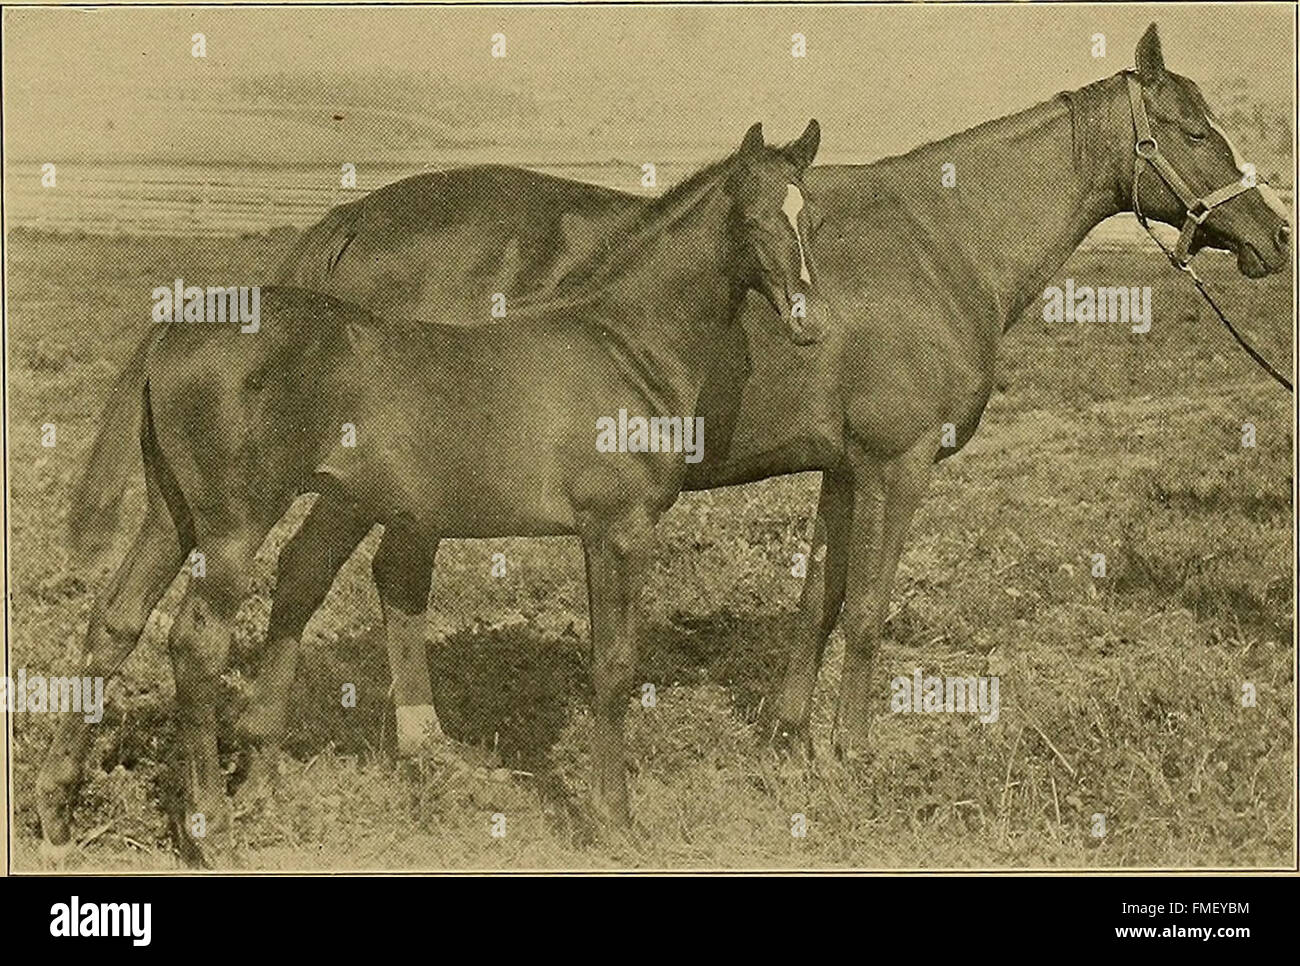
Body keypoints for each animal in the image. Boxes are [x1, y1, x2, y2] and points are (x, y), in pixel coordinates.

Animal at [37, 121, 826, 863]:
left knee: (114, 621)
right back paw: (212, 833)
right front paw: (614, 821)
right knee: (196, 645)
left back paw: (56, 813)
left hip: (173, 514)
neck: (623, 344)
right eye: (752, 214)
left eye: (809, 216)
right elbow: (613, 667)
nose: (808, 321)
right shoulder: (616, 529)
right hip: (234, 524)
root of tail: (172, 328)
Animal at [213, 23, 1290, 766]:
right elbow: (868, 608)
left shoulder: (845, 467)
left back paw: (416, 740)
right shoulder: (898, 463)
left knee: (388, 580)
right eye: (1194, 129)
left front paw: (787, 730)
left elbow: (820, 595)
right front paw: (851, 752)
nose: (1273, 236)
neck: (938, 239)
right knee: (323, 579)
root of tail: (356, 221)